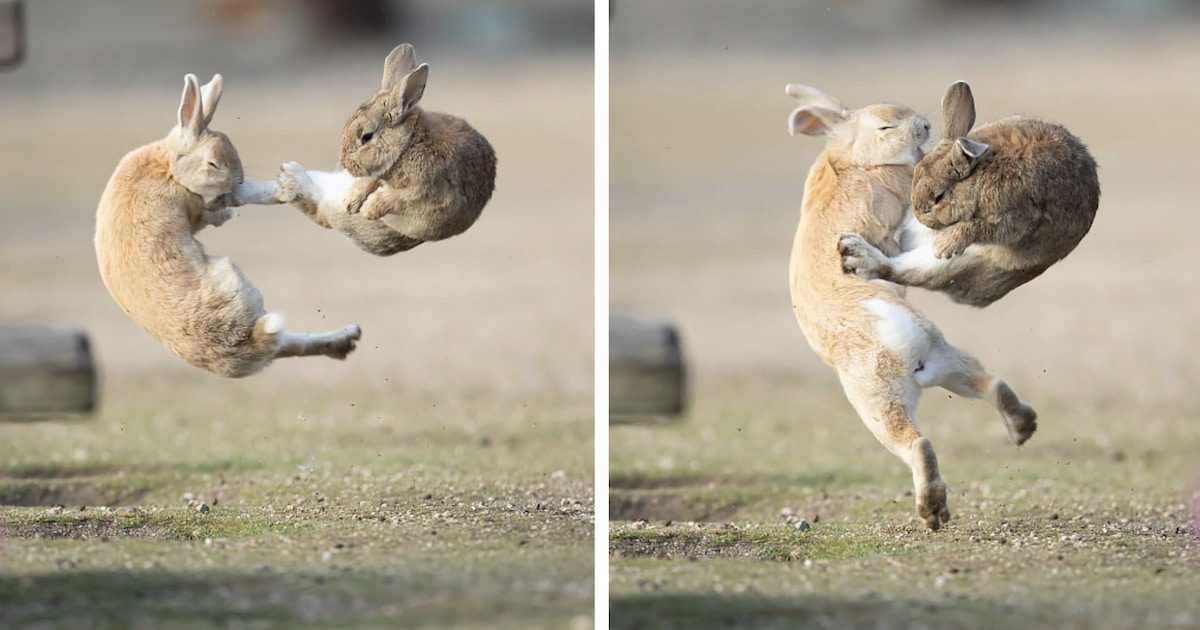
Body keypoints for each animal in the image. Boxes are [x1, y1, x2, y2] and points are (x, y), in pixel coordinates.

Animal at [95, 73, 362, 378]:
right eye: (213, 164)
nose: (238, 182)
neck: (169, 168)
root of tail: (250, 343)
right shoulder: (195, 208)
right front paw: (235, 208)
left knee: (290, 344)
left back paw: (347, 338)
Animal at [233, 43, 496, 257]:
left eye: (366, 137)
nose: (345, 163)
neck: (409, 143)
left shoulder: (422, 191)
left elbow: (392, 199)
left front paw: (368, 210)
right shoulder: (375, 174)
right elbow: (368, 183)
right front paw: (353, 202)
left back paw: (288, 178)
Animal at [785, 83, 1037, 530]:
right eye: (886, 126)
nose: (924, 127)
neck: (856, 159)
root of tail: (887, 323)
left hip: (897, 392)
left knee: (929, 435)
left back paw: (936, 509)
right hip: (922, 376)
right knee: (973, 399)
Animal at [839, 80, 1100, 307]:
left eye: (939, 197)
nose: (922, 219)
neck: (978, 176)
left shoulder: (1018, 216)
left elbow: (980, 227)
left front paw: (944, 245)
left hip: (959, 262)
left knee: (900, 270)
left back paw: (856, 253)